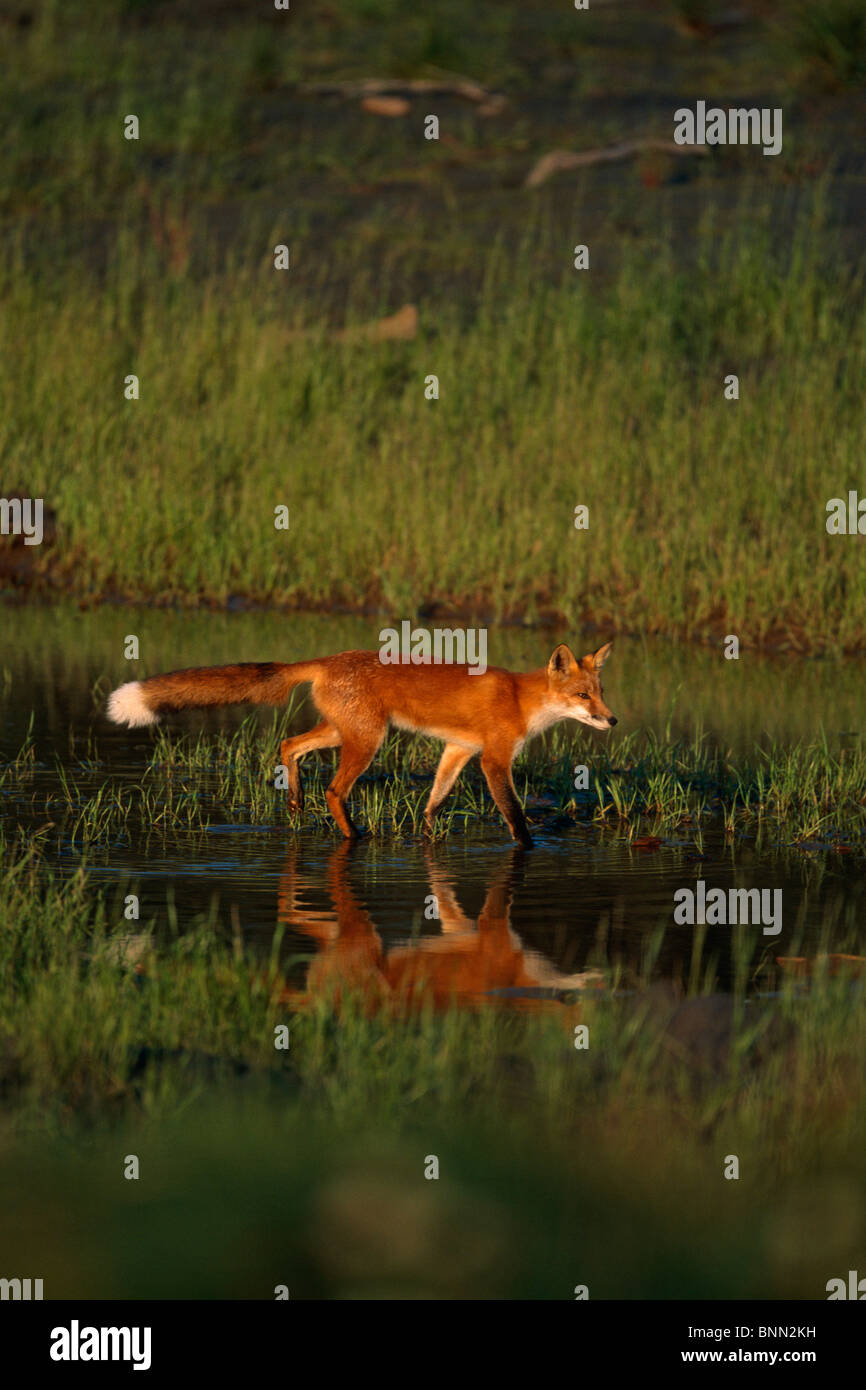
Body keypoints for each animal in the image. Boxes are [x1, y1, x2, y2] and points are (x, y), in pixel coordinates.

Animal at [106, 640, 616, 847]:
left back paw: (295, 802)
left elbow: (434, 800)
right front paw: (530, 849)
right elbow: (515, 816)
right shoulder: (493, 759)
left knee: (289, 745)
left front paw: (425, 836)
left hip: (344, 731)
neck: (519, 698)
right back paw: (352, 835)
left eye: (600, 691)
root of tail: (328, 659)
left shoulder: (458, 750)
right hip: (368, 740)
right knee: (334, 791)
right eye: (582, 696)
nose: (611, 719)